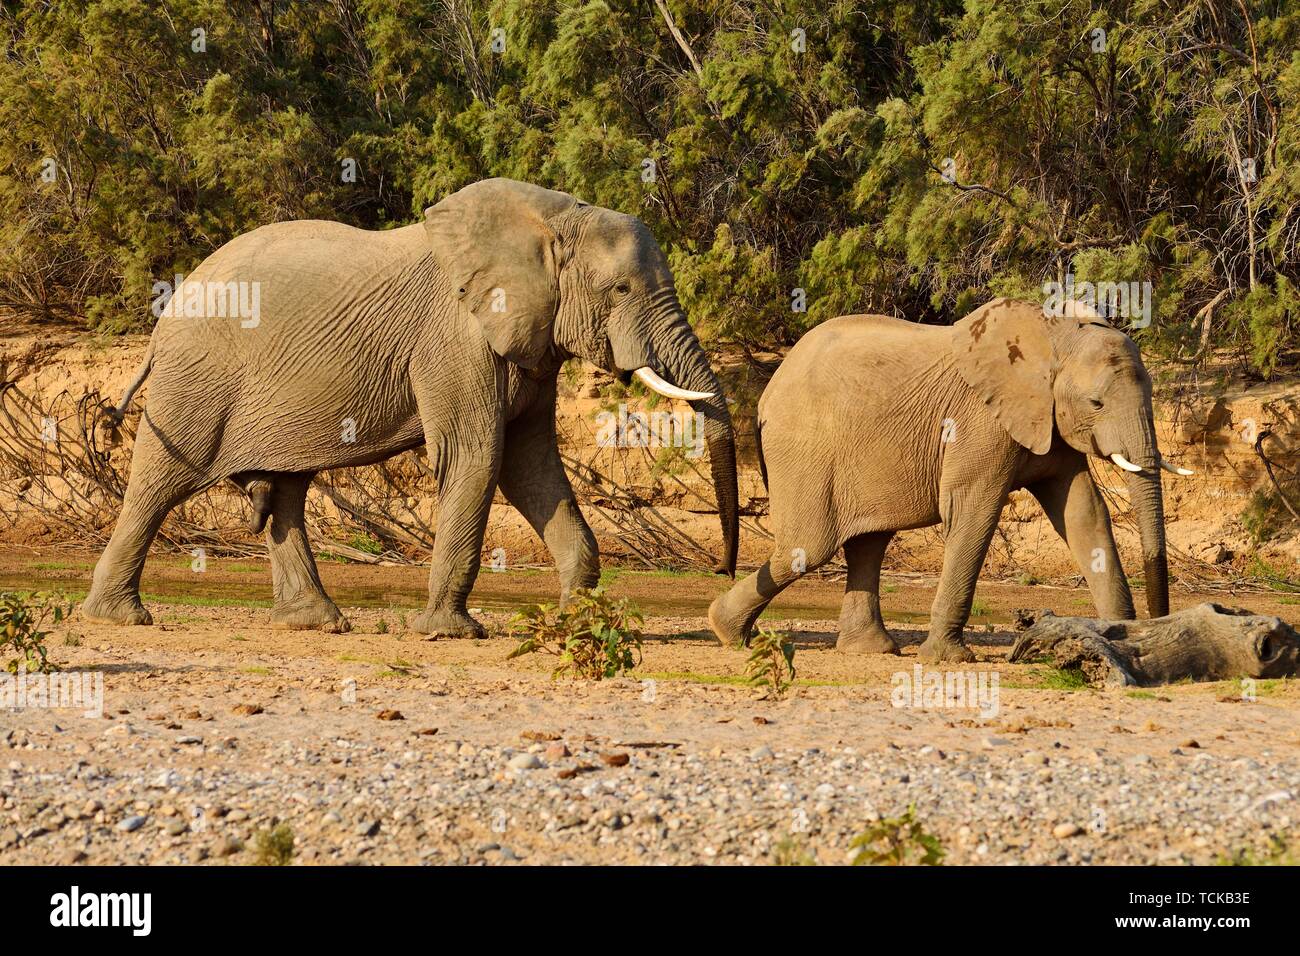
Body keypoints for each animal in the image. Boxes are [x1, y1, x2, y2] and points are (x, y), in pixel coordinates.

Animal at [82, 177, 739, 636]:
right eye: (620, 290)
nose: (723, 573)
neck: (551, 218)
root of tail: (167, 311)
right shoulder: (453, 340)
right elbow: (478, 458)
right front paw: (448, 633)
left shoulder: (531, 342)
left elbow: (531, 467)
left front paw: (577, 619)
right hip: (198, 381)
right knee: (161, 482)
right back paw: (120, 618)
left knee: (287, 491)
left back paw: (317, 623)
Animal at [708, 297, 1191, 663]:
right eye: (1096, 403)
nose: (1156, 621)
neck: (1054, 336)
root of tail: (769, 387)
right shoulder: (981, 422)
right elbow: (973, 511)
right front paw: (948, 659)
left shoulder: (1049, 421)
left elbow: (1083, 514)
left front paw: (1118, 635)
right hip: (803, 449)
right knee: (809, 546)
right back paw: (727, 631)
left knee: (867, 543)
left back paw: (869, 650)